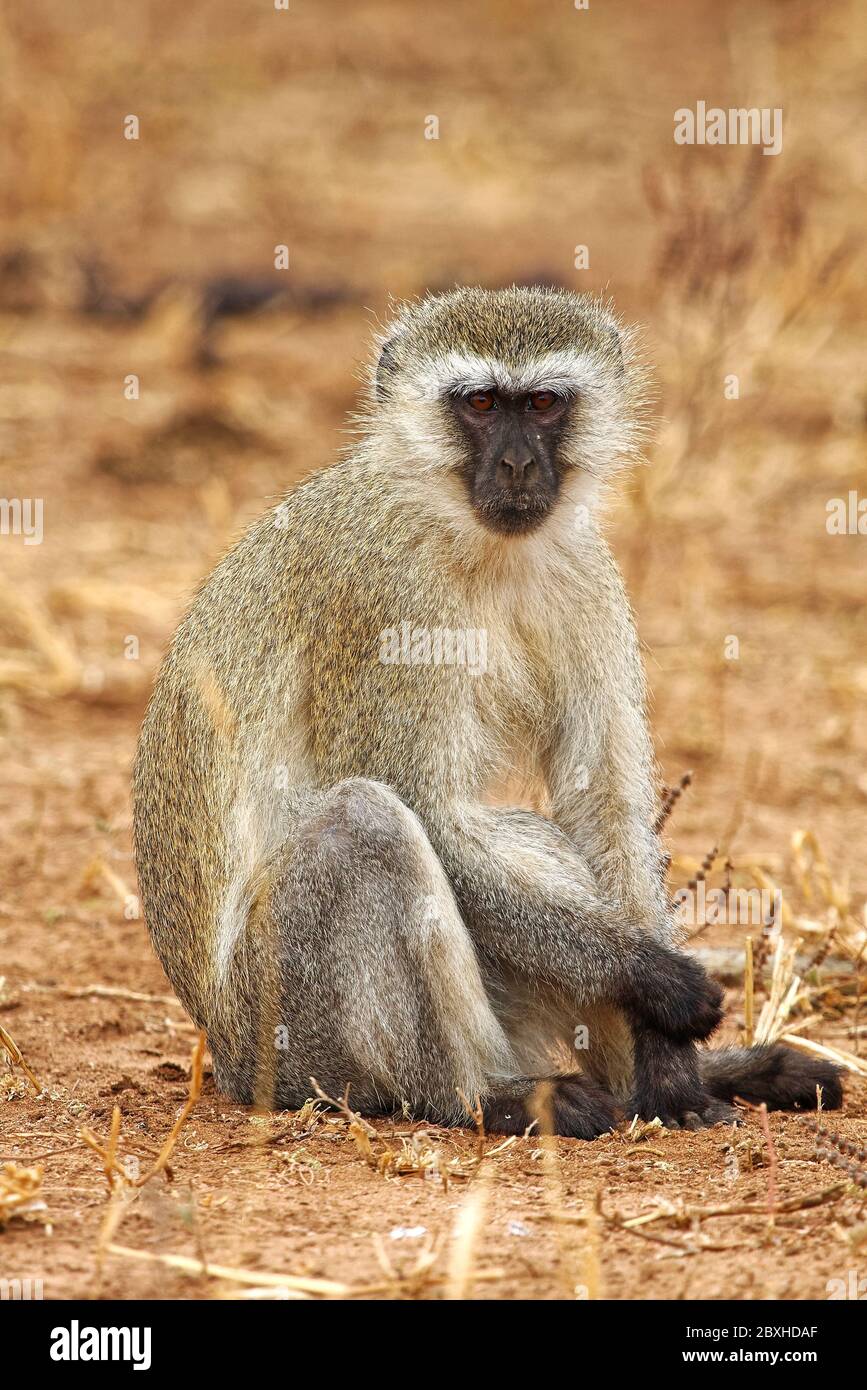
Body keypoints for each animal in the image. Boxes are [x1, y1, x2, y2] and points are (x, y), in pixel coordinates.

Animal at [132, 285, 842, 1137]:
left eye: (540, 404)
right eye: (477, 403)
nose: (515, 464)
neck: (462, 531)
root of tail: (224, 1056)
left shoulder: (585, 571)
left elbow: (601, 806)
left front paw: (673, 1071)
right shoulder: (383, 595)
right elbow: (426, 809)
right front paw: (652, 978)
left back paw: (665, 1083)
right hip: (284, 1032)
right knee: (366, 825)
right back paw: (483, 1095)